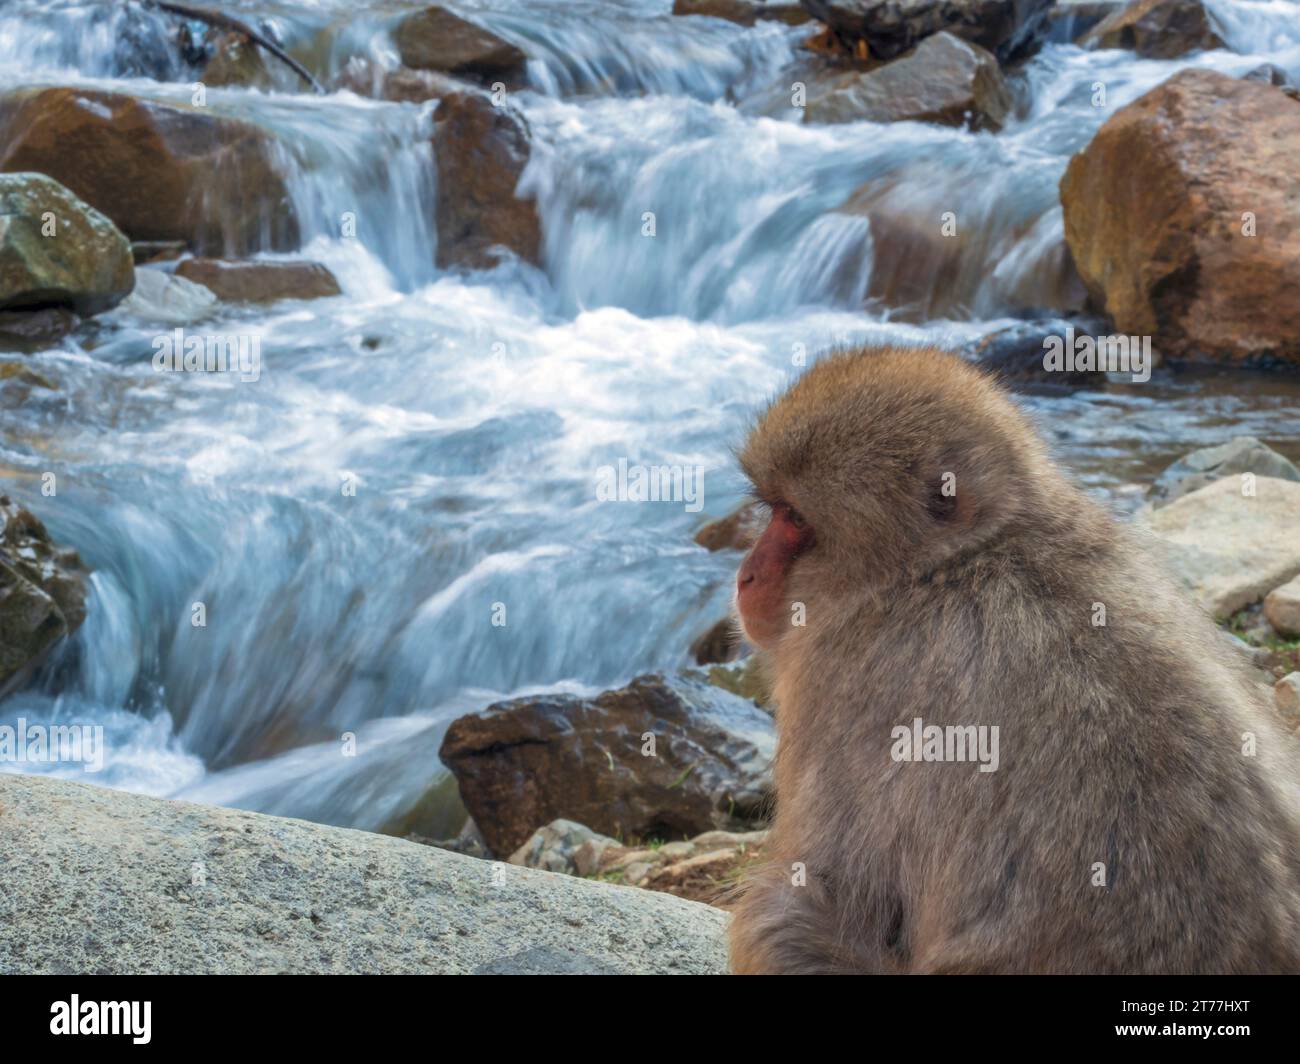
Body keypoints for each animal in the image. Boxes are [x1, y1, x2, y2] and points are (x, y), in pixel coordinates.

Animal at [728, 345, 1300, 974]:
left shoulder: (841, 681)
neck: (958, 562)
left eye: (794, 517)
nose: (746, 575)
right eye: (772, 509)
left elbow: (835, 895)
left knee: (778, 918)